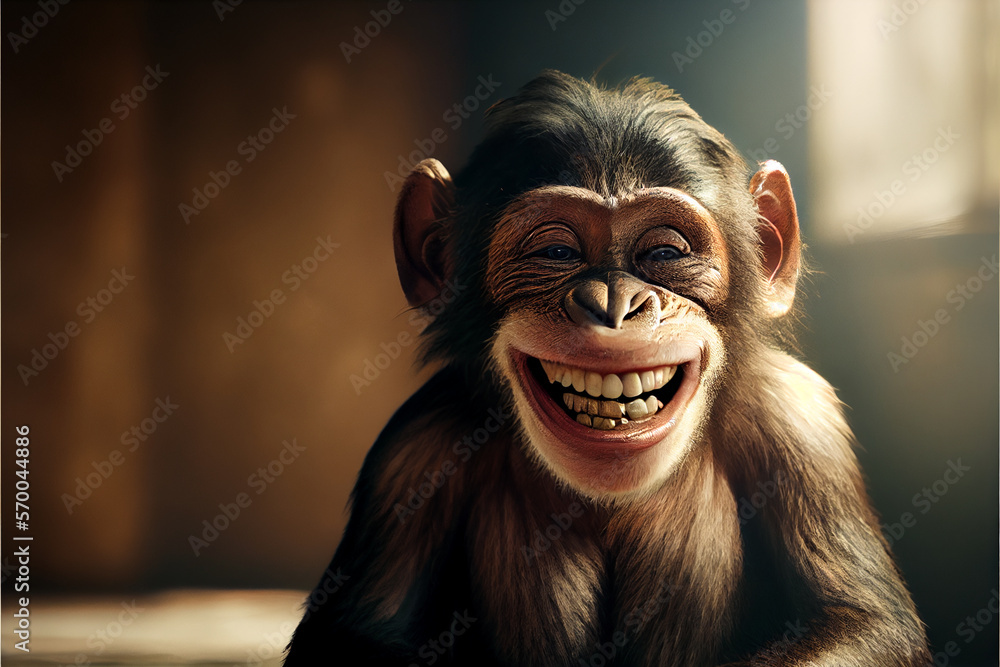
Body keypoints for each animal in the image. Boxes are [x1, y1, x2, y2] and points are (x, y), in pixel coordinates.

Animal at [284, 70, 931, 666]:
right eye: (556, 252)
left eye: (664, 252)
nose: (615, 304)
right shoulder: (414, 452)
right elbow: (357, 635)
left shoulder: (799, 423)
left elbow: (862, 621)